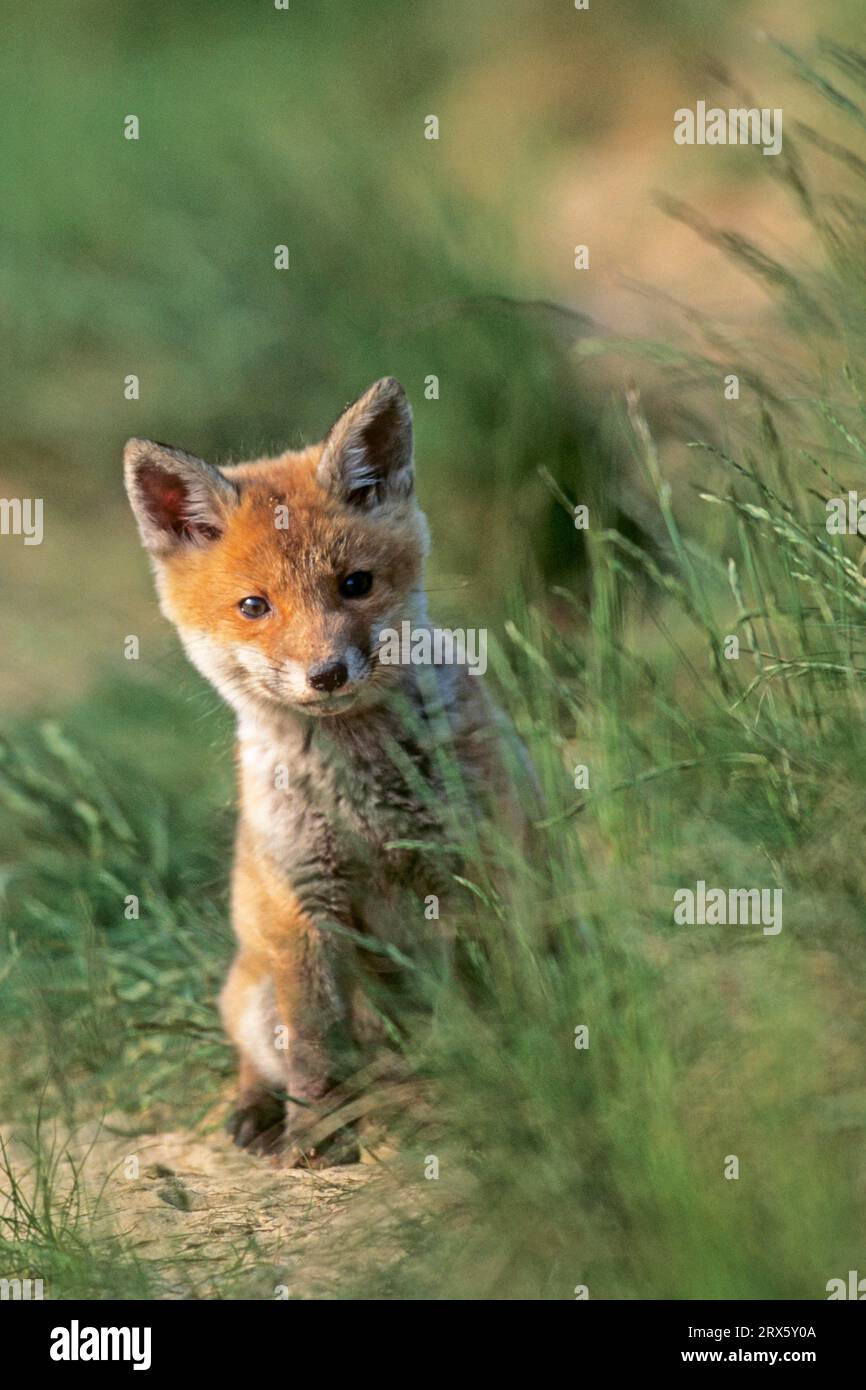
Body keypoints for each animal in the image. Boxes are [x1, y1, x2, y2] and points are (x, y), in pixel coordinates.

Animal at [124, 377, 523, 1166]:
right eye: (254, 606)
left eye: (355, 584)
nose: (327, 674)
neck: (363, 792)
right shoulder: (303, 899)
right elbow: (313, 1043)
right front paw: (316, 1138)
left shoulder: (470, 865)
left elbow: (486, 993)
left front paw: (506, 1072)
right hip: (254, 983)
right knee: (259, 1054)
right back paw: (258, 1112)